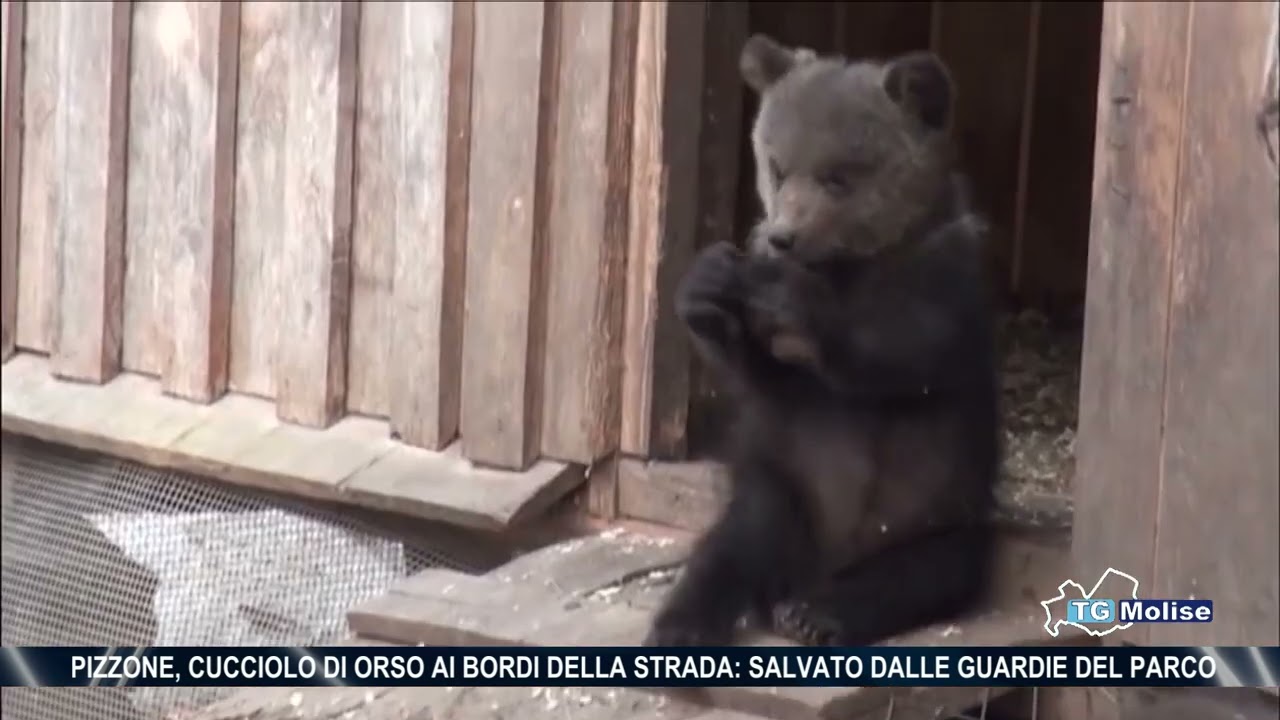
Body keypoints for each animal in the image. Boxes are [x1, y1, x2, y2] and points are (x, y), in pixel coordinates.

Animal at [643, 34, 1001, 648]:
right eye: (777, 166)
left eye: (839, 174)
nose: (783, 237)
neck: (848, 267)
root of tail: (816, 567)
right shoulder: (785, 418)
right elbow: (764, 375)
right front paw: (708, 284)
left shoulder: (946, 281)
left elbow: (906, 352)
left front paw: (791, 298)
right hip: (785, 487)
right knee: (736, 542)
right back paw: (683, 625)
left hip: (940, 515)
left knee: (919, 574)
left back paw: (819, 613)